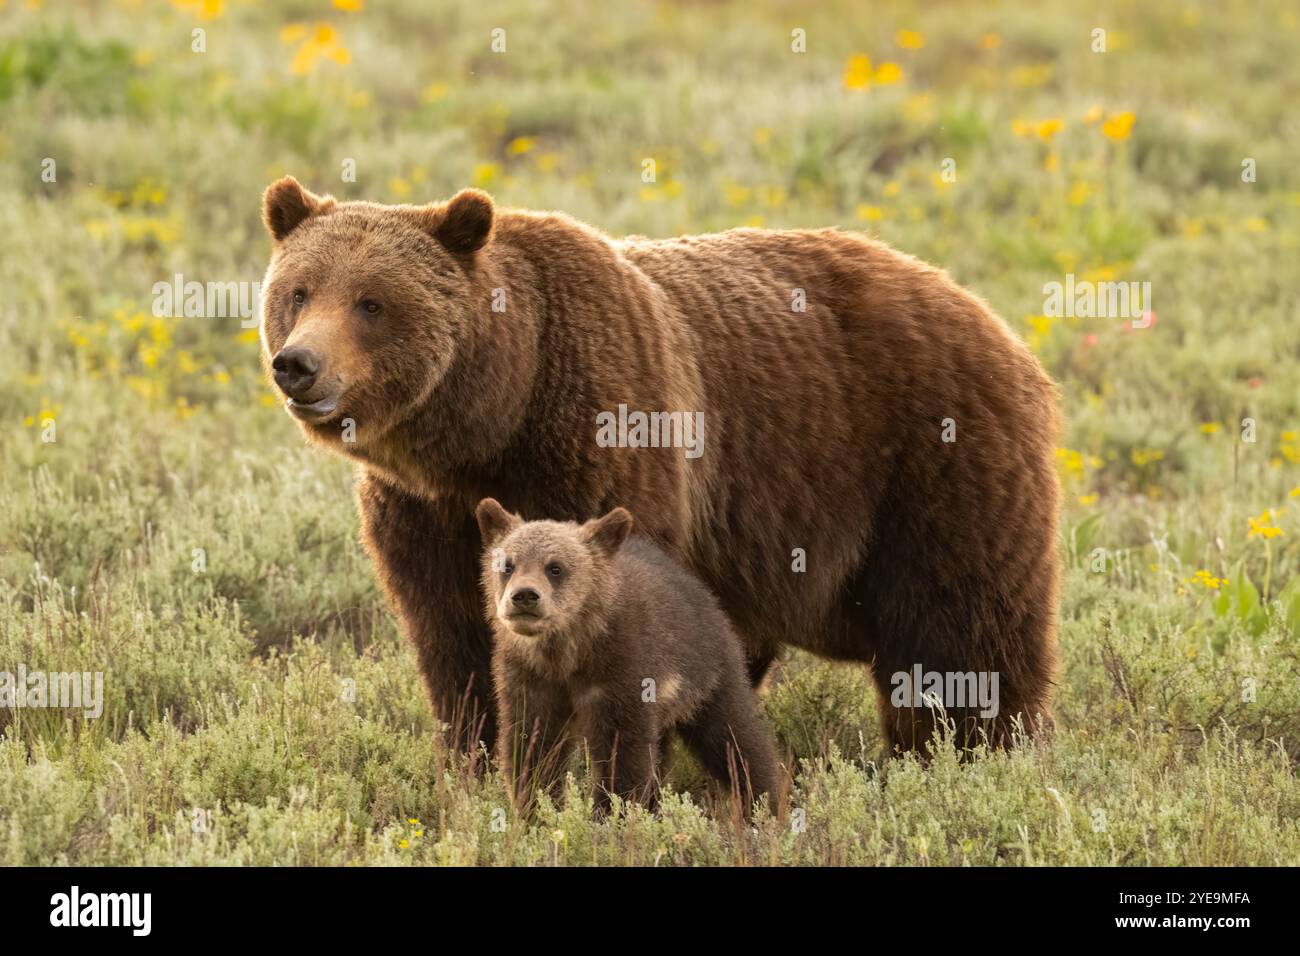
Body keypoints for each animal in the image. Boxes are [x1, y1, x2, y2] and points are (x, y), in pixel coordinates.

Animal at [258, 176, 1061, 756]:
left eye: (372, 302)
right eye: (298, 291)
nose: (298, 363)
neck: (489, 424)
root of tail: (987, 313)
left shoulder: (602, 435)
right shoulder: (423, 513)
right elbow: (455, 641)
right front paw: (476, 761)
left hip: (928, 464)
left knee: (959, 638)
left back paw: (962, 757)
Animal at [474, 498, 778, 814]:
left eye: (555, 567)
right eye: (507, 565)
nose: (524, 596)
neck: (567, 652)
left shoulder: (622, 672)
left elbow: (622, 754)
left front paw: (610, 811)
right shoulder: (528, 679)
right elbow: (532, 747)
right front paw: (537, 806)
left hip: (710, 672)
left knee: (733, 736)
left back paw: (763, 804)